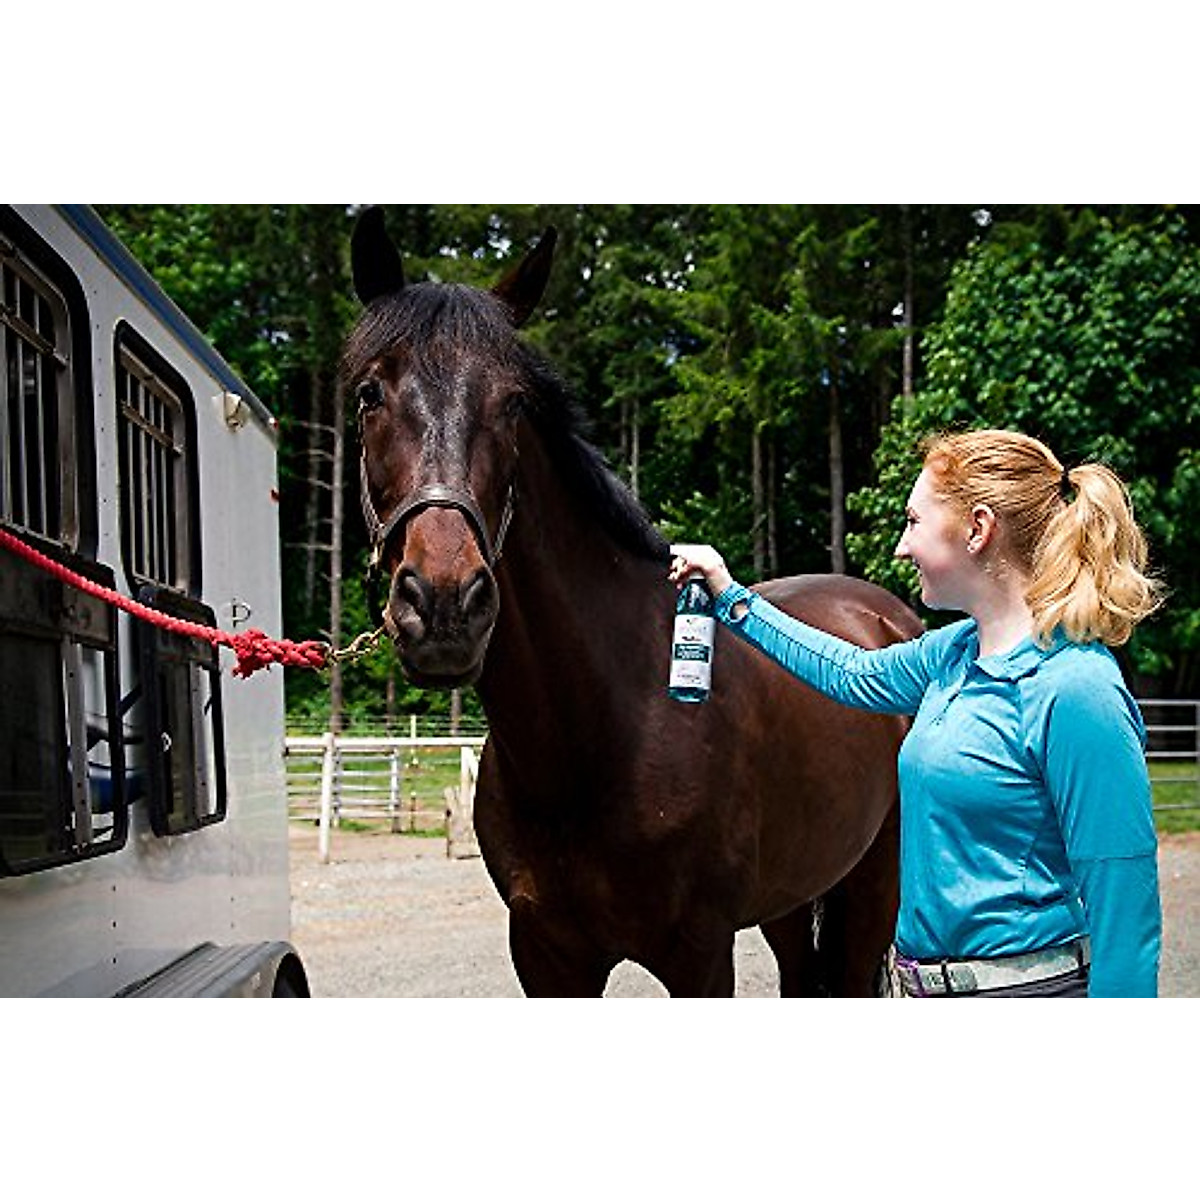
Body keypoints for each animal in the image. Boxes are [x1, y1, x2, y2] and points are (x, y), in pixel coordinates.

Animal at [344, 207, 924, 996]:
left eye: (513, 404)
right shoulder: (547, 956)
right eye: (369, 395)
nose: (443, 605)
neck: (592, 737)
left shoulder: (700, 956)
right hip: (792, 895)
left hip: (872, 885)